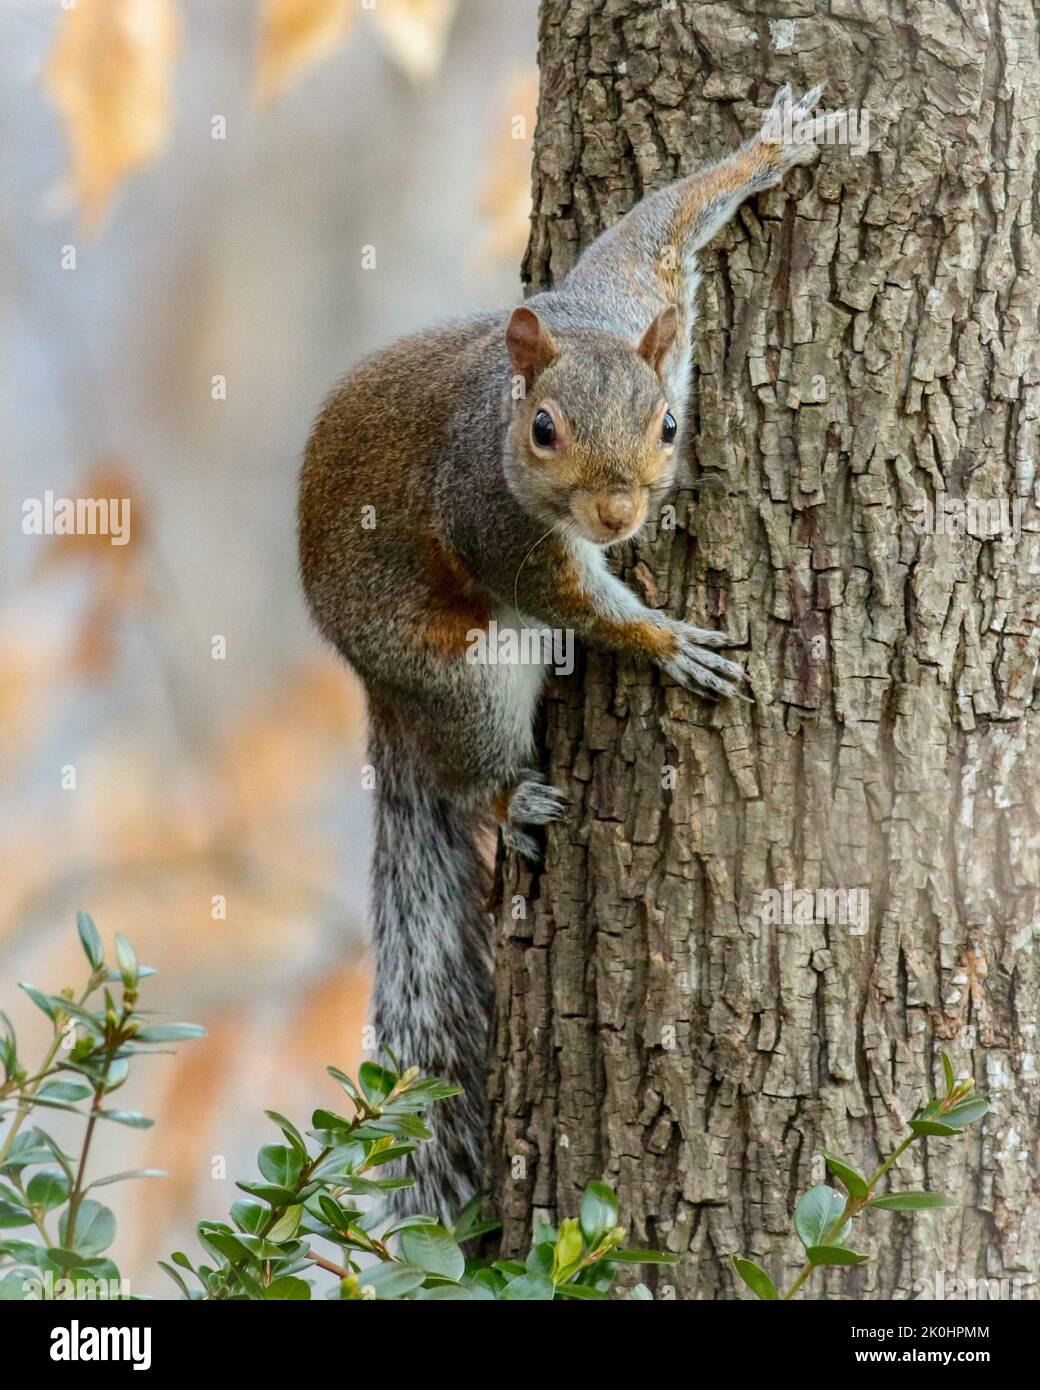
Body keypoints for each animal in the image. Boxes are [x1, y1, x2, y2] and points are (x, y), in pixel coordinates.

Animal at [299, 85, 826, 1219]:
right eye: (542, 431)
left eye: (667, 424)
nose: (618, 515)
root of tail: (370, 678)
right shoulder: (502, 532)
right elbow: (582, 603)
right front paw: (666, 642)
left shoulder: (629, 291)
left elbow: (658, 223)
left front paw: (771, 148)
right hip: (460, 670)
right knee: (466, 763)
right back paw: (511, 796)